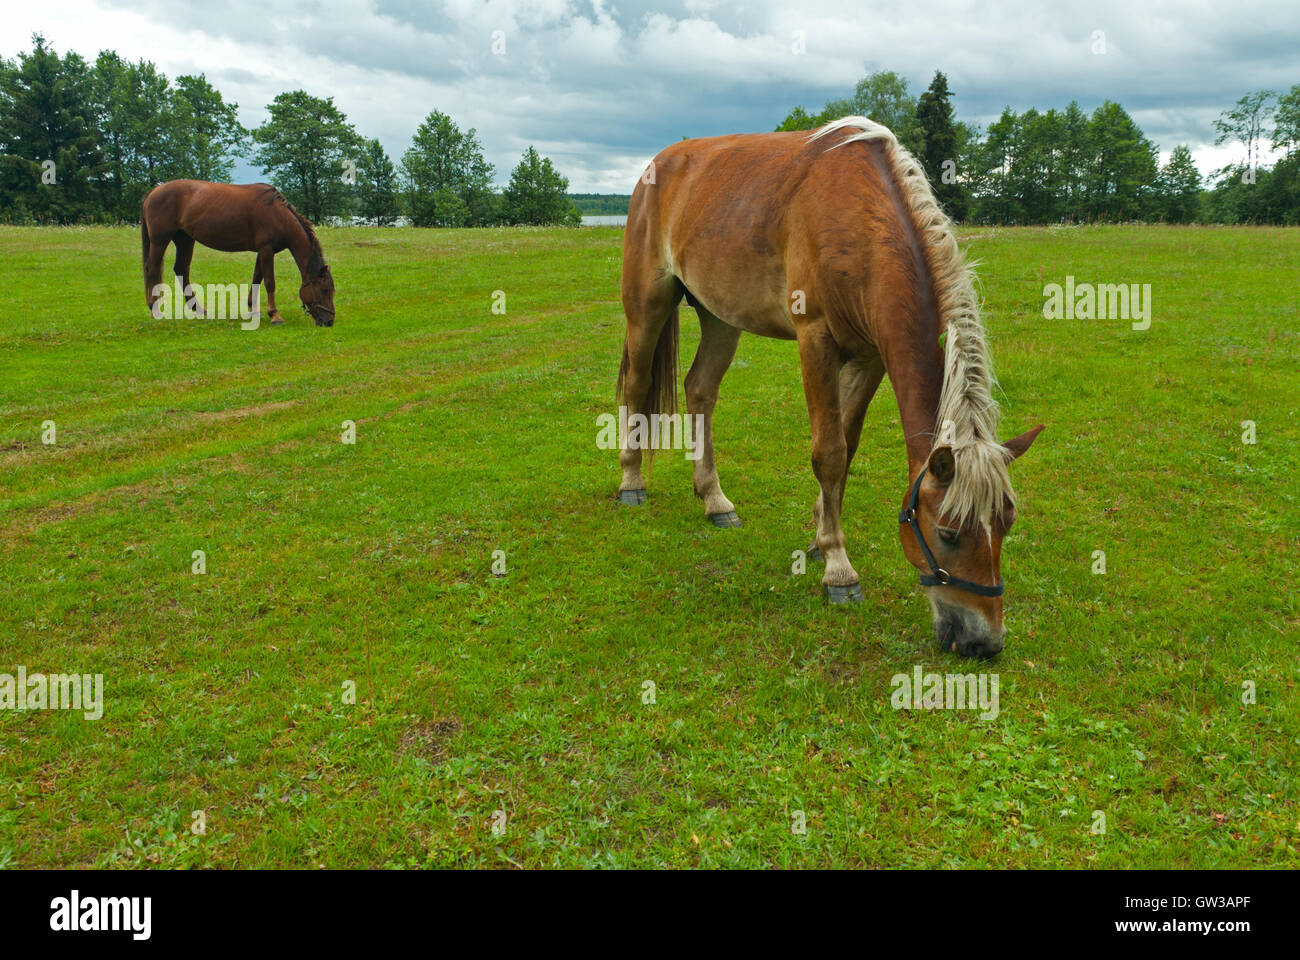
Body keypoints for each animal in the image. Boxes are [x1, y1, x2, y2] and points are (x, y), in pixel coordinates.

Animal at [141, 180, 335, 326]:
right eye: (324, 290)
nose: (329, 321)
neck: (277, 214)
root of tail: (154, 191)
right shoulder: (266, 250)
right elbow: (269, 282)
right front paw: (275, 315)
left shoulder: (262, 251)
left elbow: (257, 278)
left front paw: (253, 309)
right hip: (160, 241)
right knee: (152, 268)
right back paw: (154, 308)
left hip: (185, 240)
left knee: (181, 270)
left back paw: (199, 309)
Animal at [616, 117, 1043, 659]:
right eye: (948, 533)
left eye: (1006, 524)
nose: (983, 643)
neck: (859, 219)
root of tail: (658, 165)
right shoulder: (815, 339)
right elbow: (829, 453)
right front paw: (839, 568)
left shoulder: (869, 356)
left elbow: (848, 444)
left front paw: (821, 535)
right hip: (646, 305)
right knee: (637, 386)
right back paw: (631, 481)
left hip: (720, 316)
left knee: (700, 391)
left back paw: (714, 499)